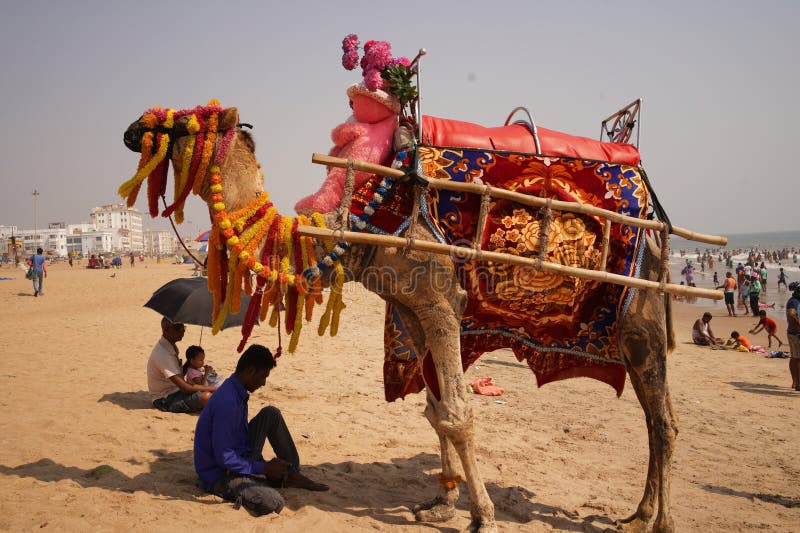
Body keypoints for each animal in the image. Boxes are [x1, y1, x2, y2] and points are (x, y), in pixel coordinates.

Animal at [122, 103, 678, 533]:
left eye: (185, 122)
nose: (130, 131)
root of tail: (655, 211)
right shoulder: (411, 309)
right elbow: (435, 410)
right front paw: (443, 502)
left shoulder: (438, 299)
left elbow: (458, 410)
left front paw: (484, 516)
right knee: (652, 417)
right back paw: (637, 514)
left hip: (639, 311)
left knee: (663, 419)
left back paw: (661, 522)